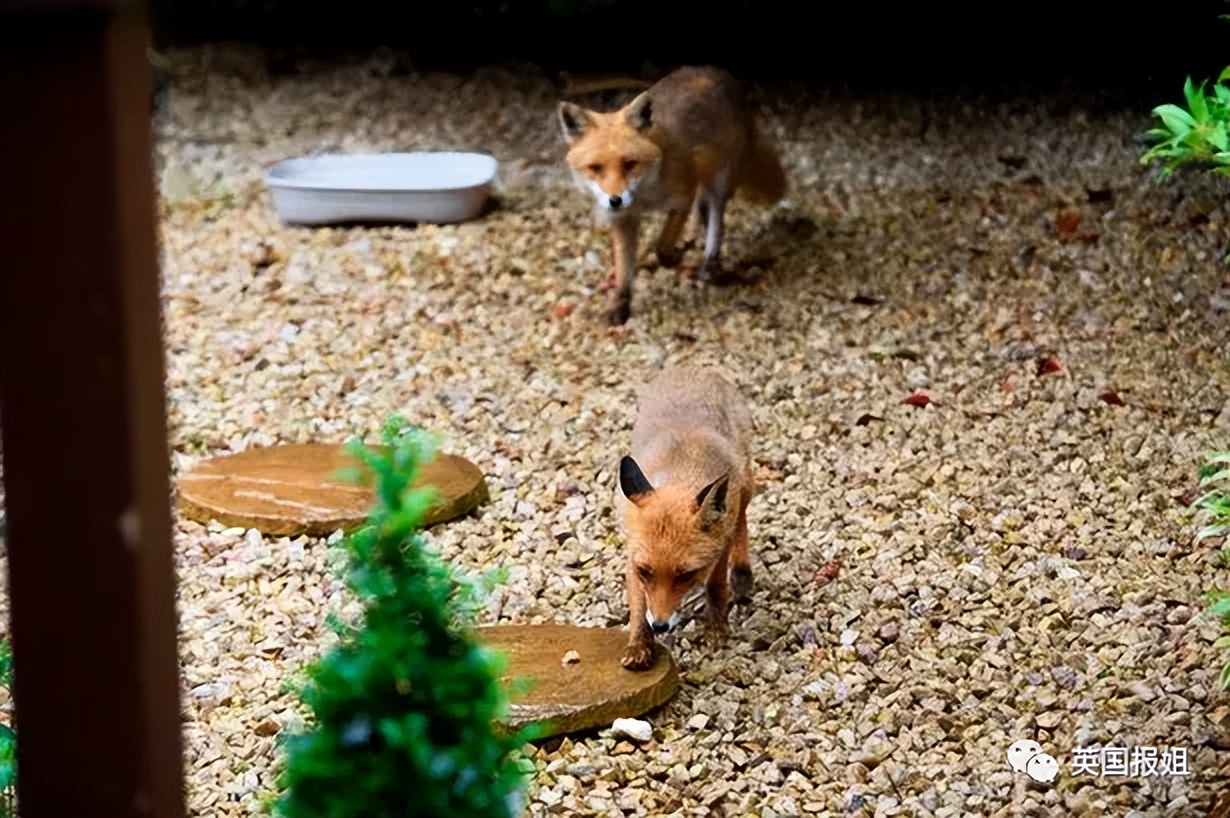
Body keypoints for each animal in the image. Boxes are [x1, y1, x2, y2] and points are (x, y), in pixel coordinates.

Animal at [558, 65, 787, 326]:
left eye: (630, 164)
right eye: (595, 168)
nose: (615, 200)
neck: (645, 195)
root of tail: (714, 70)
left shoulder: (682, 198)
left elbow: (662, 247)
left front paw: (677, 257)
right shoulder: (624, 220)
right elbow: (624, 270)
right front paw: (620, 306)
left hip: (719, 181)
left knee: (716, 221)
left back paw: (709, 262)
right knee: (703, 211)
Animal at [614, 365, 755, 671]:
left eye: (686, 575)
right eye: (646, 572)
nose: (660, 626)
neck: (682, 471)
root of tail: (694, 367)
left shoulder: (720, 542)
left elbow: (716, 585)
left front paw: (716, 628)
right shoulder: (632, 554)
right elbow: (638, 605)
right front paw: (639, 644)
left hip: (745, 486)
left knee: (742, 520)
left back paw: (742, 573)